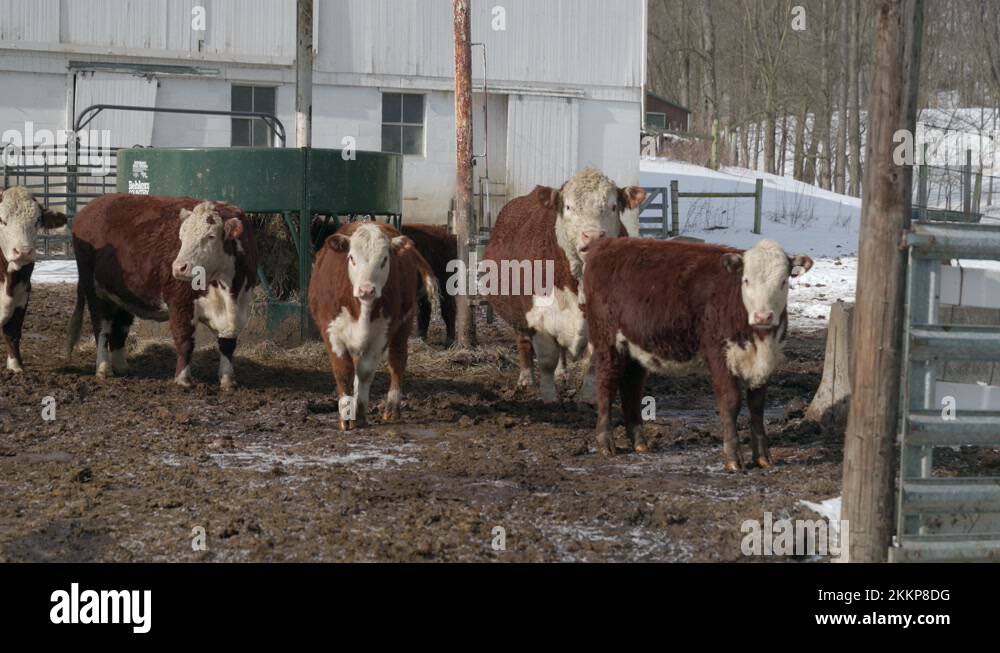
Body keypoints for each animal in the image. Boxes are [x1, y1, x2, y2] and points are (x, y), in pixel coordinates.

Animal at [0, 186, 68, 372]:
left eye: (37, 221)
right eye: (2, 220)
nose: (23, 251)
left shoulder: (22, 296)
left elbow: (13, 332)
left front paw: (15, 365)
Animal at [67, 194, 258, 390]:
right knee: (101, 329)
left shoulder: (239, 307)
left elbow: (228, 345)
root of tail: (90, 207)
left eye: (211, 236)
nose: (179, 267)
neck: (226, 288)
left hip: (122, 297)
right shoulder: (180, 304)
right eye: (182, 236)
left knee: (120, 329)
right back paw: (103, 369)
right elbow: (185, 342)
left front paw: (228, 380)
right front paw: (183, 379)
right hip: (95, 291)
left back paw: (121, 367)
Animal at [309, 222, 437, 431]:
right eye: (351, 258)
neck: (362, 308)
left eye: (384, 259)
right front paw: (346, 416)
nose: (366, 289)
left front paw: (360, 413)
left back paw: (392, 409)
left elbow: (365, 372)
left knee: (397, 361)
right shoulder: (331, 330)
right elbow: (344, 371)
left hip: (404, 322)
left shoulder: (382, 334)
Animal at [483, 168, 646, 402]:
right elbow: (546, 359)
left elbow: (593, 361)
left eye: (613, 206)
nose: (593, 236)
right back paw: (526, 379)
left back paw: (561, 374)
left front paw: (588, 398)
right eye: (568, 207)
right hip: (518, 314)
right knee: (524, 343)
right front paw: (550, 397)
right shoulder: (537, 317)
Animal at [583, 238, 814, 472]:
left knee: (632, 386)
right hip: (606, 339)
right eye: (746, 280)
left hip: (636, 345)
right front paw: (733, 458)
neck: (758, 337)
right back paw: (605, 443)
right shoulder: (718, 353)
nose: (763, 316)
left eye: (783, 281)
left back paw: (640, 443)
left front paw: (763, 457)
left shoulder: (763, 362)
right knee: (606, 384)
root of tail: (609, 243)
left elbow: (757, 405)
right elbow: (731, 401)